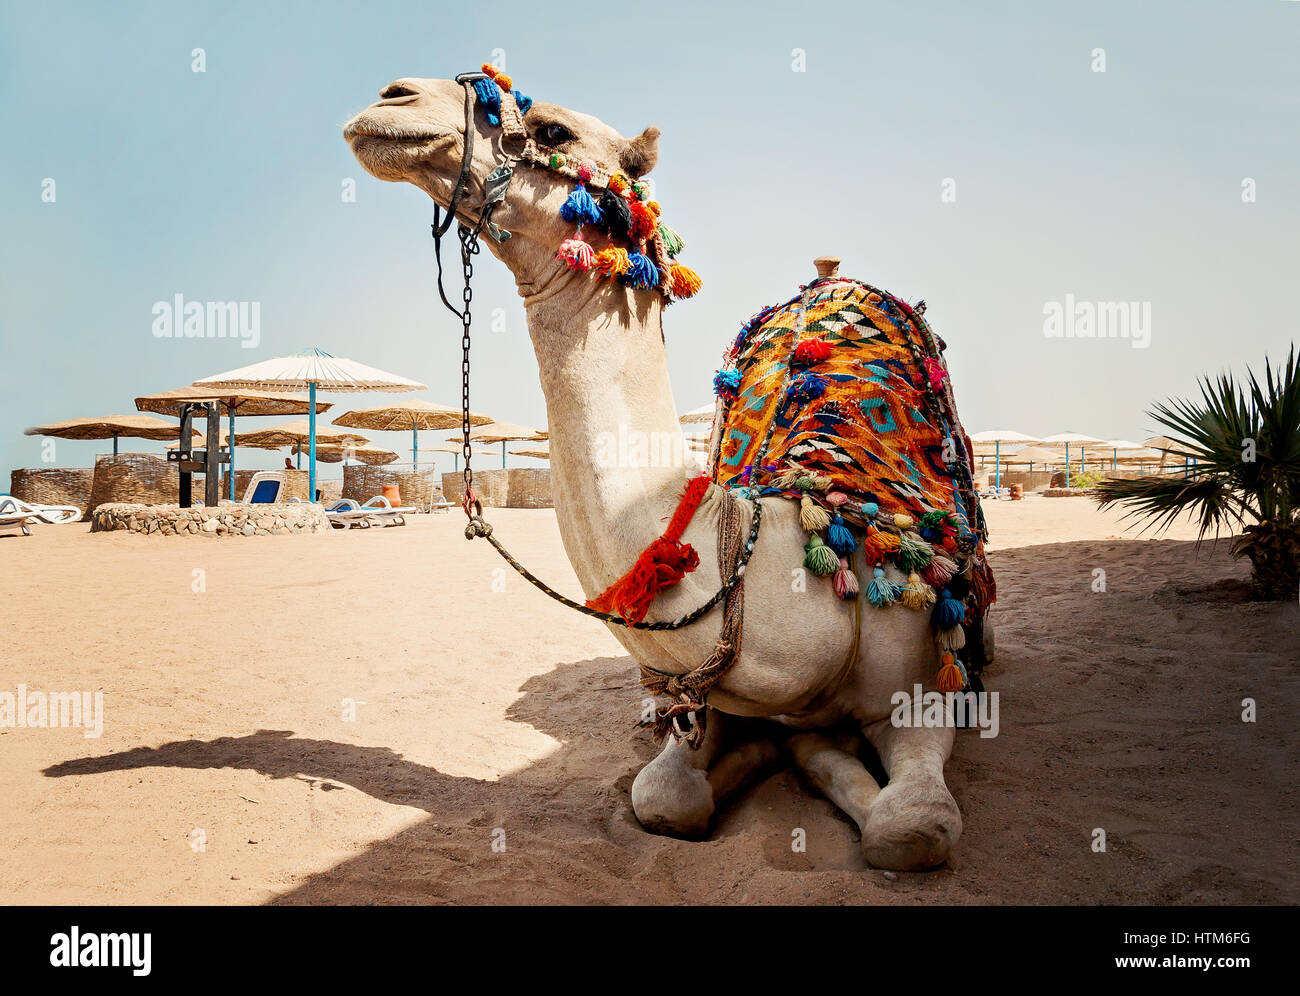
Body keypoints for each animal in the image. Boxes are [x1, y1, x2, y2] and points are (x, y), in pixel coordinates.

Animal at [345, 73, 985, 871]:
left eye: (553, 131)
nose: (393, 99)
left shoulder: (922, 685)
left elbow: (910, 827)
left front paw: (827, 759)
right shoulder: (711, 699)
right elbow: (665, 797)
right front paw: (781, 752)